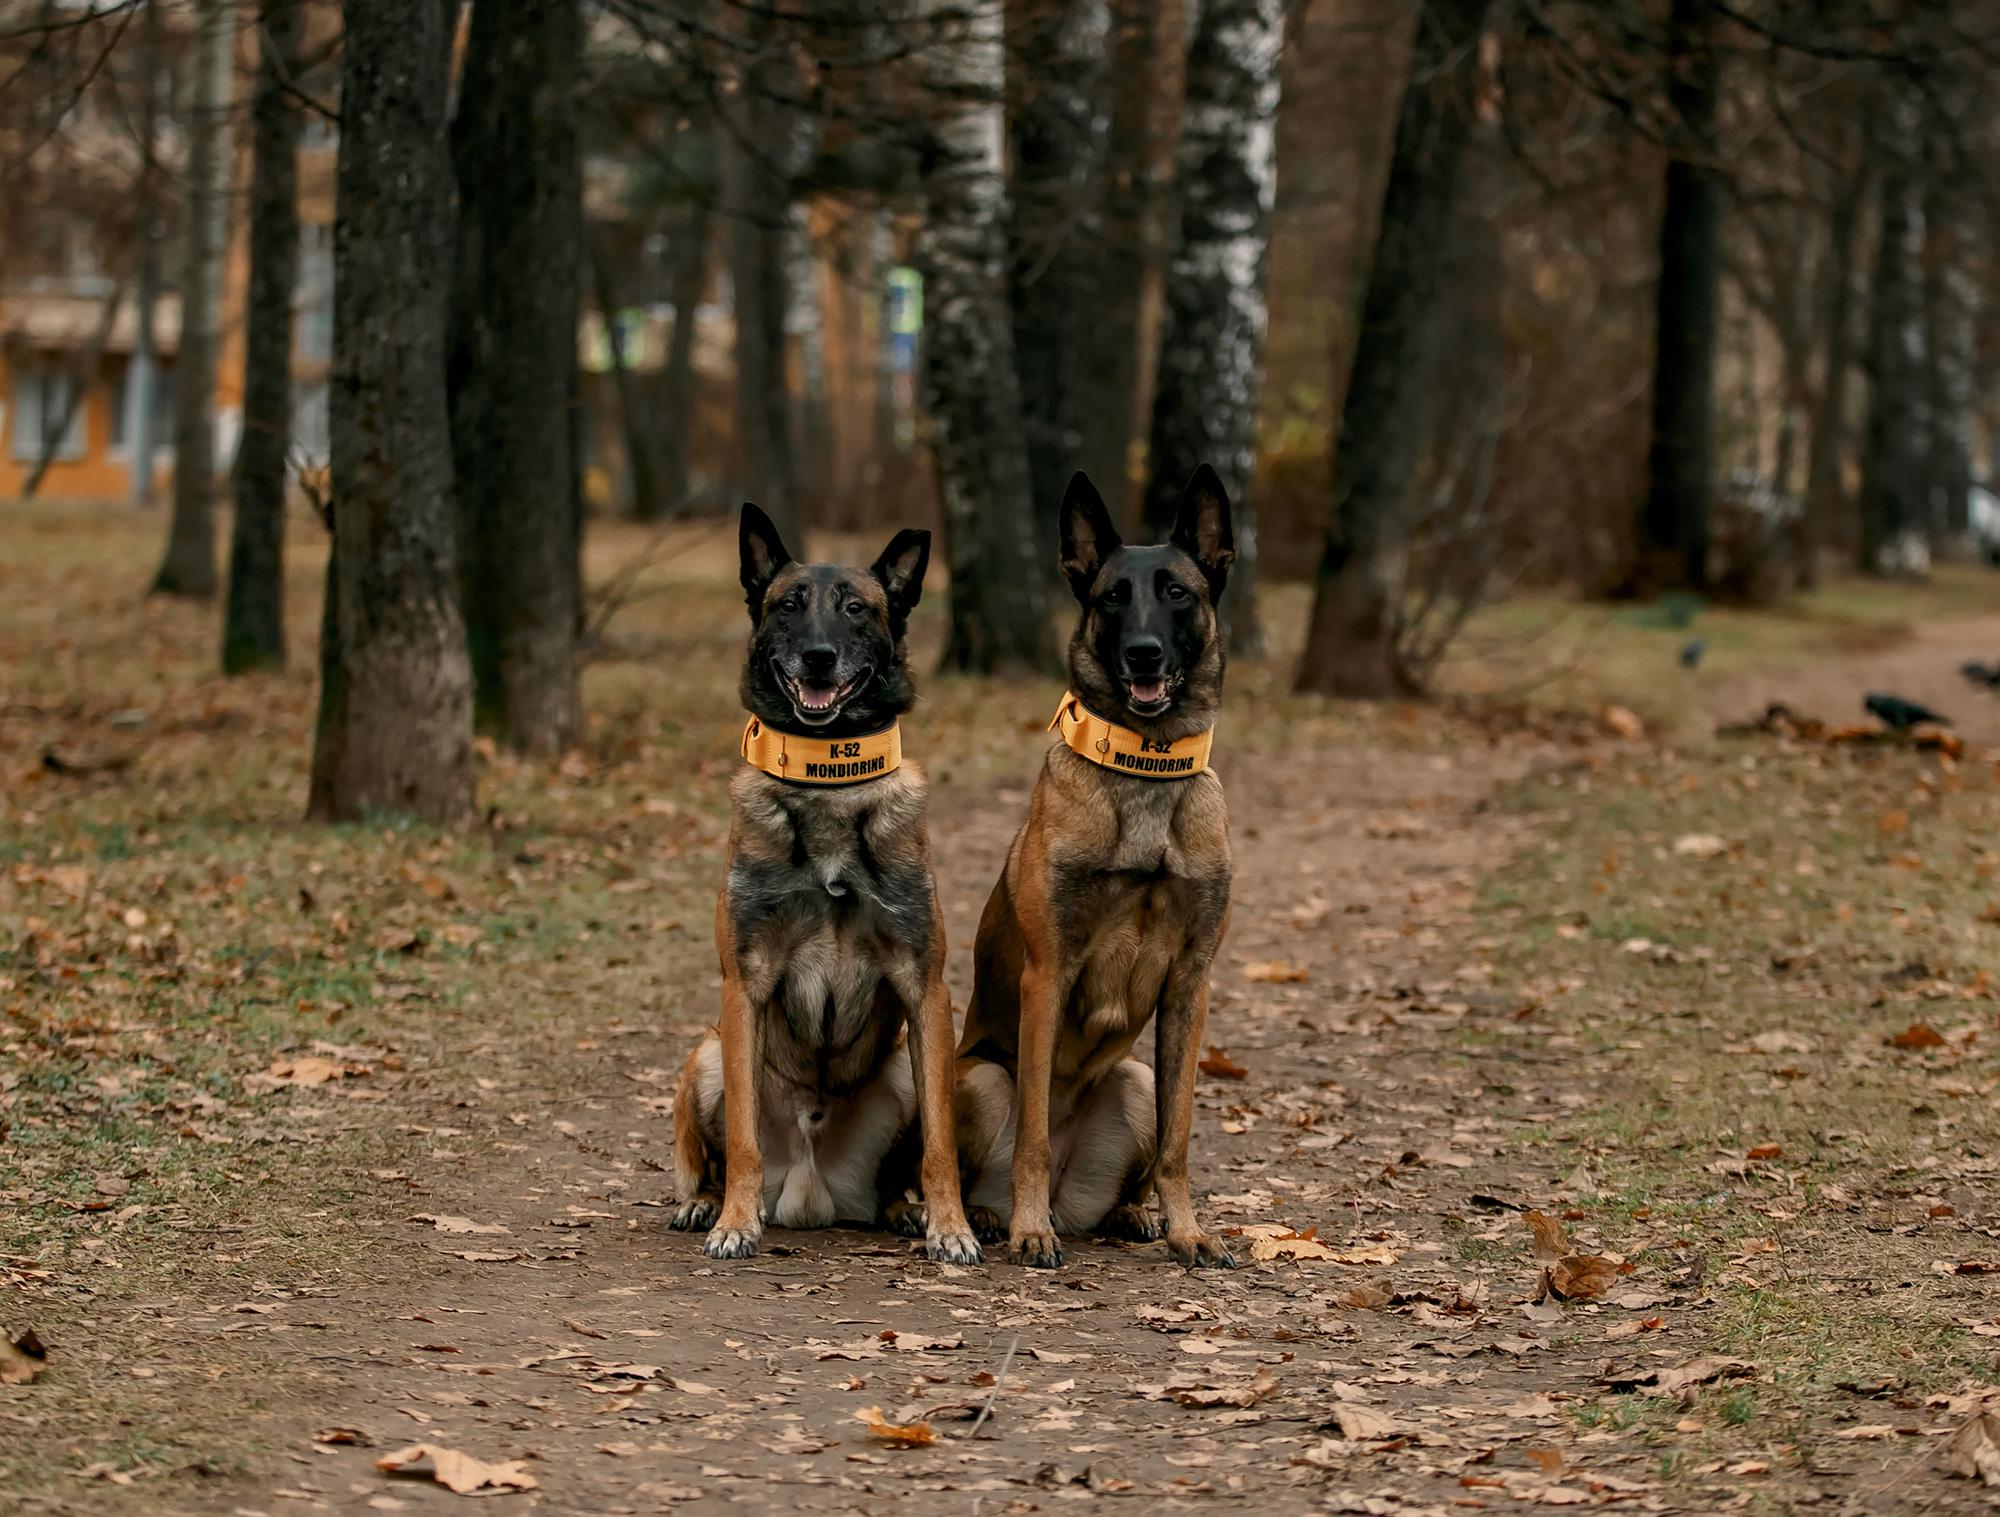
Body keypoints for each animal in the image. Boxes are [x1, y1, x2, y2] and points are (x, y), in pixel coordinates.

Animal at [672, 504, 984, 1264]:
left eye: (855, 608)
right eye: (789, 605)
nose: (818, 654)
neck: (828, 785)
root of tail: (812, 1188)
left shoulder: (926, 989)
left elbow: (939, 1145)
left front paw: (952, 1226)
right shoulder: (744, 984)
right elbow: (744, 1138)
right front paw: (735, 1222)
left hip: (905, 1066)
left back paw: (904, 1210)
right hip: (707, 1053)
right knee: (705, 1156)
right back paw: (705, 1202)